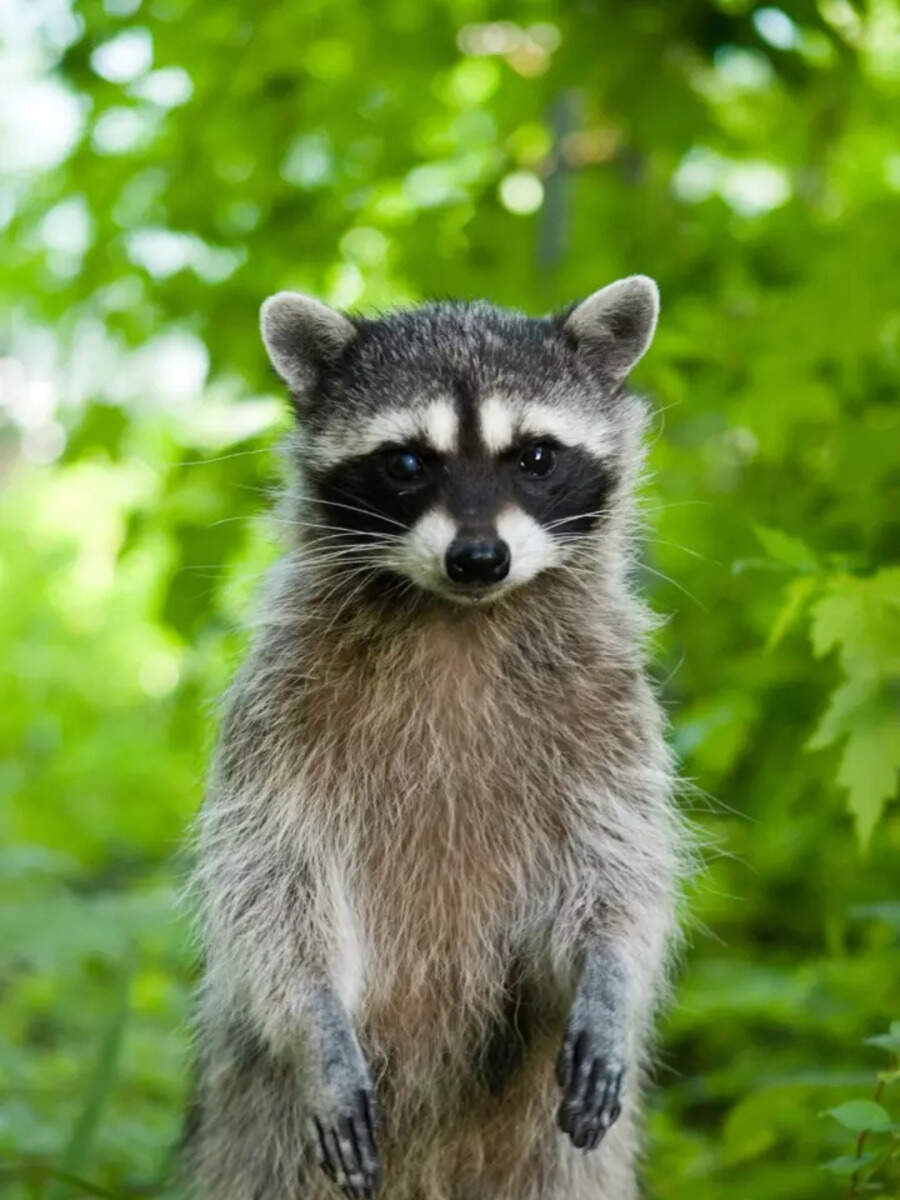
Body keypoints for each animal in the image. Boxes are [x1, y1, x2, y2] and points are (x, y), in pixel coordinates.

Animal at [186, 276, 684, 1200]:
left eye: (536, 457)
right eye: (408, 462)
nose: (479, 557)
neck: (460, 616)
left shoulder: (612, 713)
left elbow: (620, 870)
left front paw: (611, 977)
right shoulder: (275, 714)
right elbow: (271, 885)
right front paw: (314, 1023)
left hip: (548, 1148)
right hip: (257, 1124)